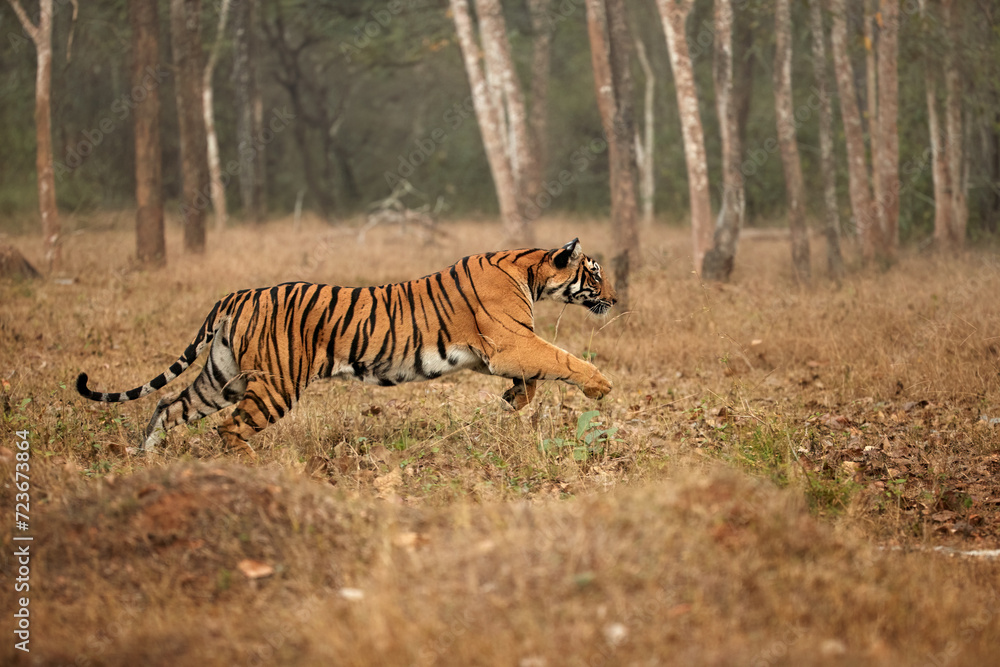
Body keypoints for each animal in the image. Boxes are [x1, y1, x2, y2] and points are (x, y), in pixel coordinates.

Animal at [76, 238, 617, 456]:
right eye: (594, 273)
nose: (614, 298)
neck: (530, 269)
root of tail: (238, 294)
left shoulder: (493, 351)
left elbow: (539, 371)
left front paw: (514, 399)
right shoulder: (509, 342)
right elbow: (562, 358)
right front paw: (601, 387)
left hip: (221, 378)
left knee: (169, 404)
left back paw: (144, 457)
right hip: (274, 386)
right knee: (228, 429)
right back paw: (257, 467)